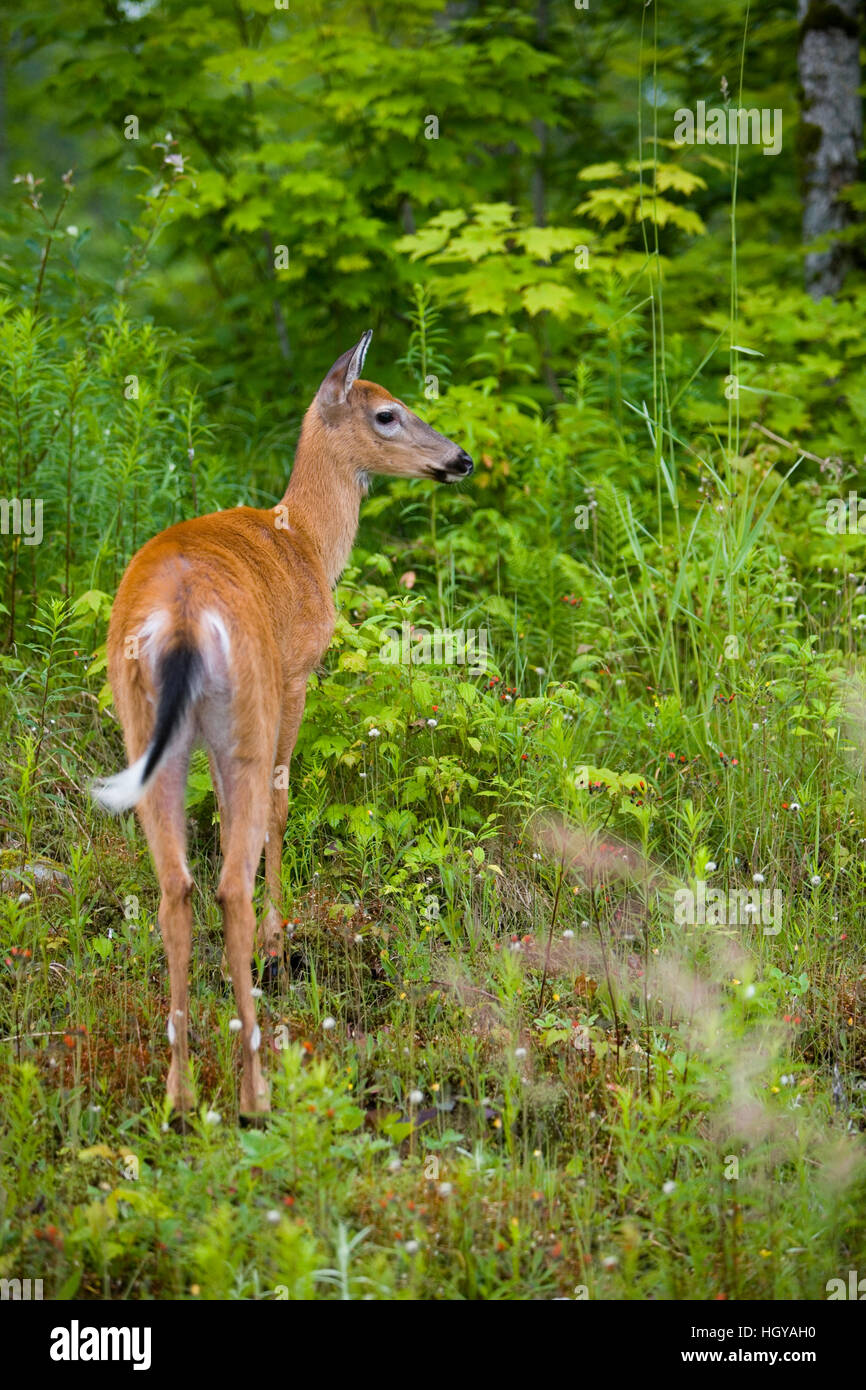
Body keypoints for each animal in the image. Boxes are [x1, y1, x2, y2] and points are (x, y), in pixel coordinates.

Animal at [93, 331, 472, 1118]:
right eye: (388, 412)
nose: (460, 458)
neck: (306, 542)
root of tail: (181, 618)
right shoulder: (299, 672)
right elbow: (282, 797)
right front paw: (278, 938)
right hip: (250, 705)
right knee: (229, 879)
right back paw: (254, 1088)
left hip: (142, 724)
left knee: (175, 885)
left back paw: (179, 1095)